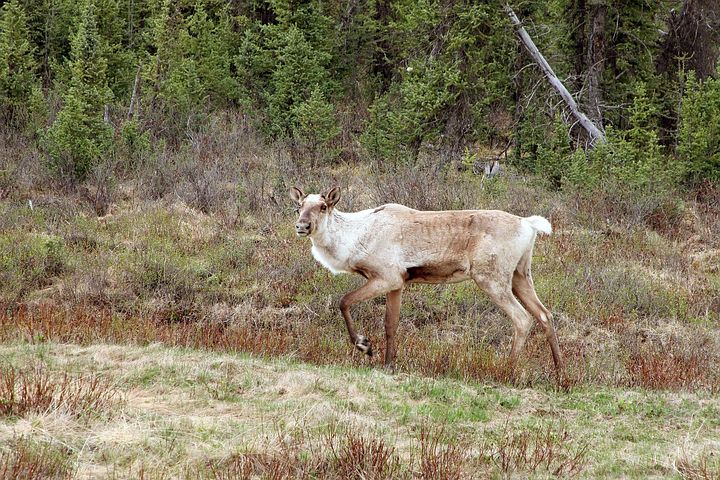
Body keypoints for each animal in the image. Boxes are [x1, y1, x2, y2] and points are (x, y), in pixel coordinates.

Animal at [290, 186, 563, 376]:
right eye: (299, 205)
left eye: (323, 206)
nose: (301, 226)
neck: (353, 238)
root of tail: (529, 225)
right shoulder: (398, 283)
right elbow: (391, 325)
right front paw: (389, 365)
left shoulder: (386, 277)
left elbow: (344, 301)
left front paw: (364, 345)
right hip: (521, 275)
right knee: (545, 314)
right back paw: (560, 372)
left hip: (491, 278)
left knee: (523, 318)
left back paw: (508, 370)